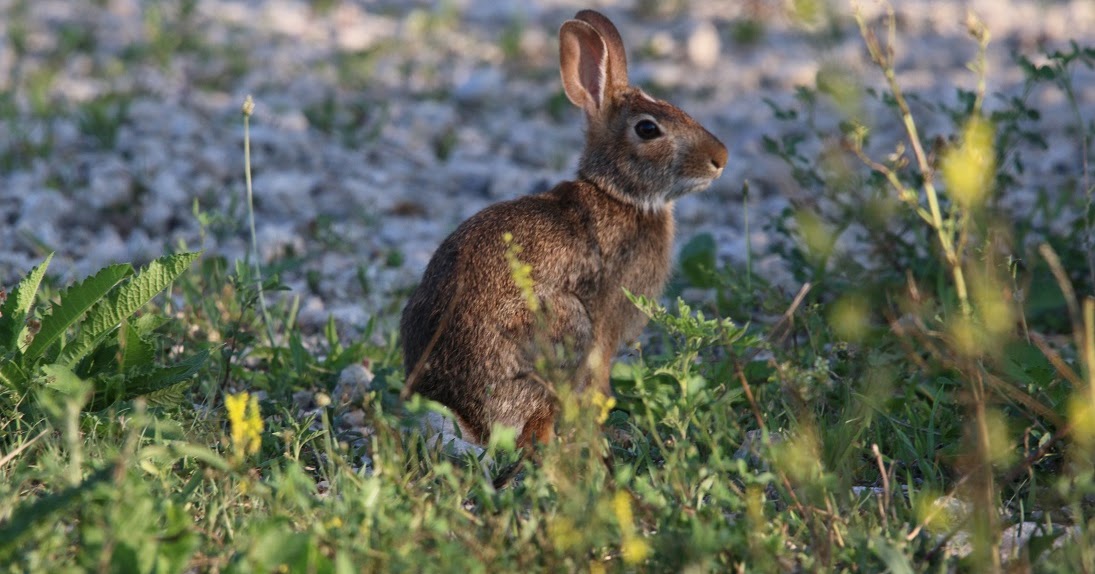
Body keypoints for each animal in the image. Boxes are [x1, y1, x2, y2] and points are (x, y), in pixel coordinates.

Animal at [401, 9, 728, 465]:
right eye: (648, 129)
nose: (721, 159)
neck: (617, 193)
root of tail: (465, 416)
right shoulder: (605, 326)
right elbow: (600, 387)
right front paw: (609, 434)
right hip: (564, 325)